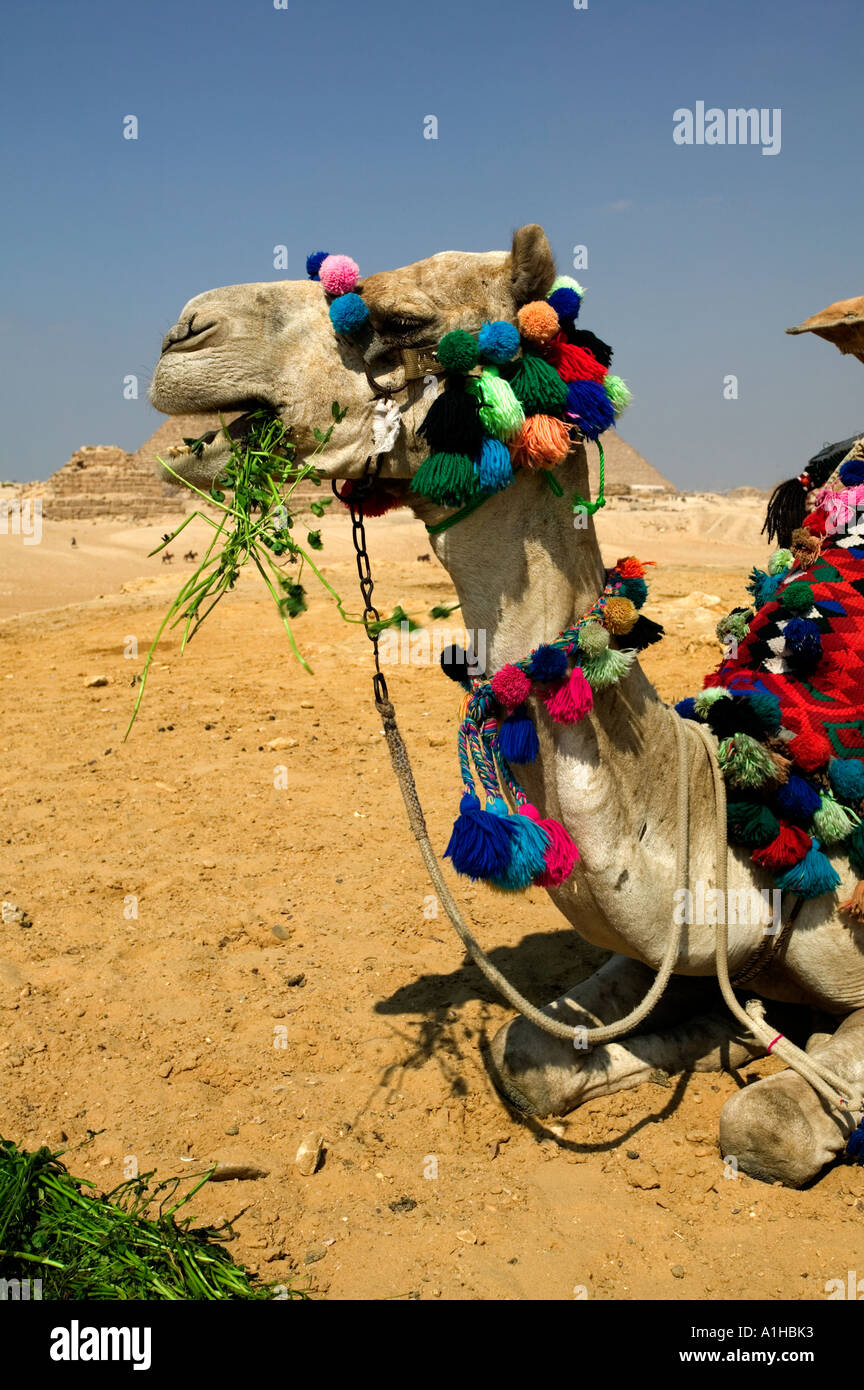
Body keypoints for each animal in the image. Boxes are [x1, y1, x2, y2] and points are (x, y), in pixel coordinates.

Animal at [148, 226, 864, 1187]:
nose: (187, 331)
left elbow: (766, 1124)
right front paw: (719, 1036)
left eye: (401, 319)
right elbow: (527, 1056)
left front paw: (763, 1052)